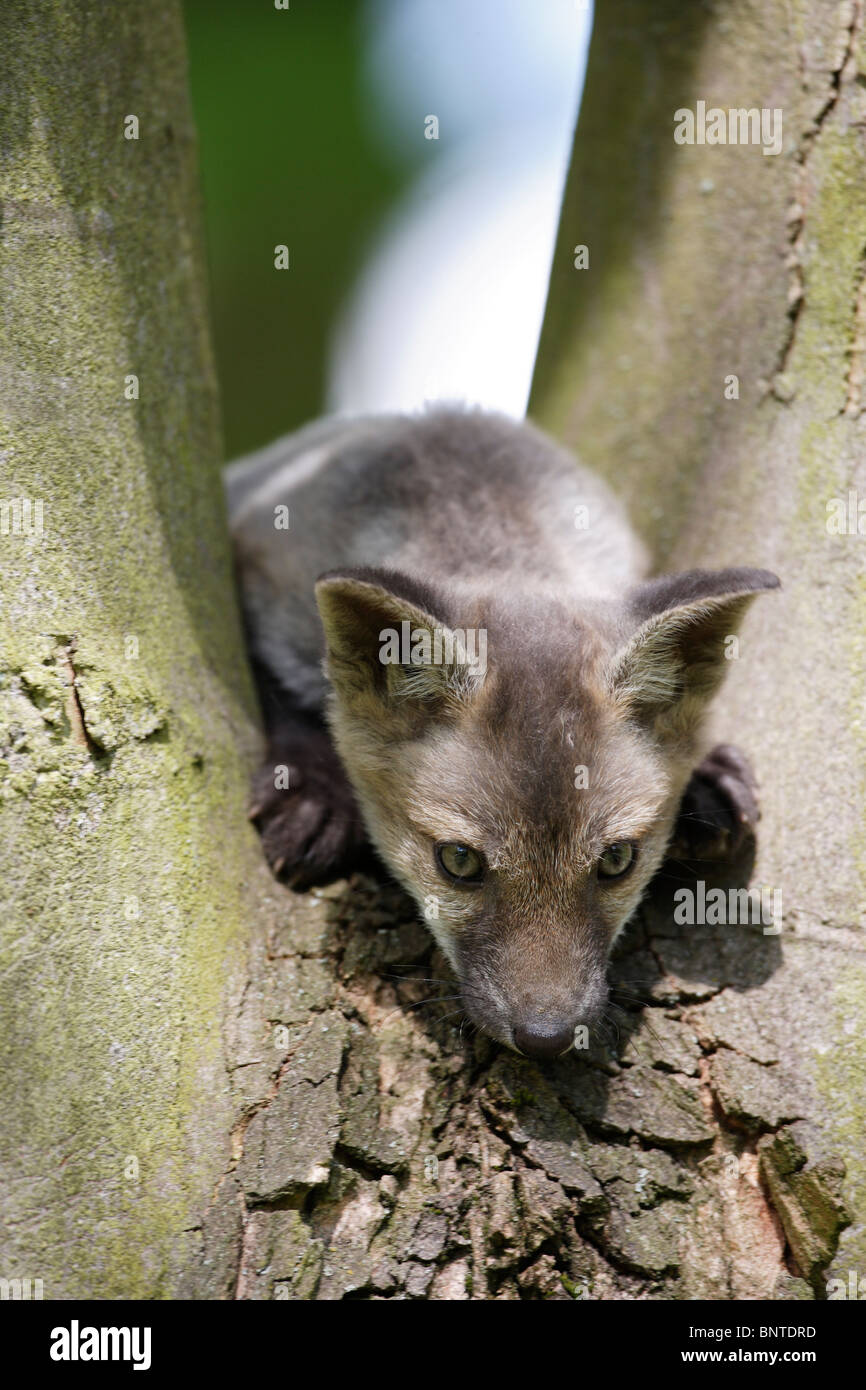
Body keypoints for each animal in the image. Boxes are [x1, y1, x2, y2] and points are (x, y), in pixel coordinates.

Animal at [226, 406, 779, 1060]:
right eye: (458, 861)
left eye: (617, 860)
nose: (547, 1038)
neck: (471, 503)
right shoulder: (254, 566)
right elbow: (281, 693)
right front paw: (312, 793)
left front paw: (706, 780)